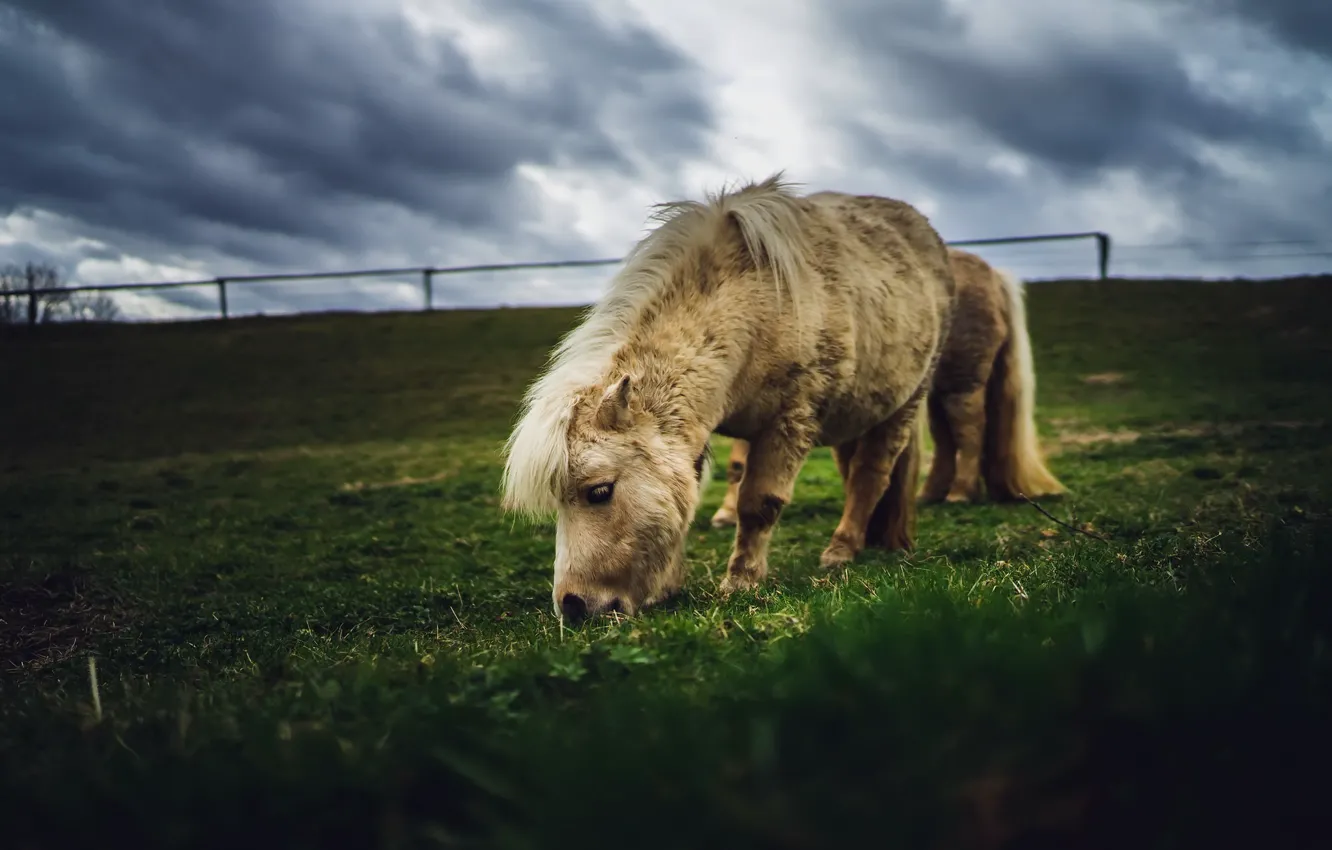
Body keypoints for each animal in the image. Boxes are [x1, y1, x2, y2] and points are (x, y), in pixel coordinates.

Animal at [500, 173, 956, 623]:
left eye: (599, 492)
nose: (573, 606)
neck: (757, 308)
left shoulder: (791, 419)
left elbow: (759, 503)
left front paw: (742, 580)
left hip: (906, 403)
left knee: (870, 476)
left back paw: (841, 549)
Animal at [709, 246, 1065, 529]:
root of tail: (991, 273)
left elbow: (740, 464)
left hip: (962, 383)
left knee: (970, 432)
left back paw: (960, 493)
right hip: (935, 390)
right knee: (946, 438)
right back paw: (931, 494)